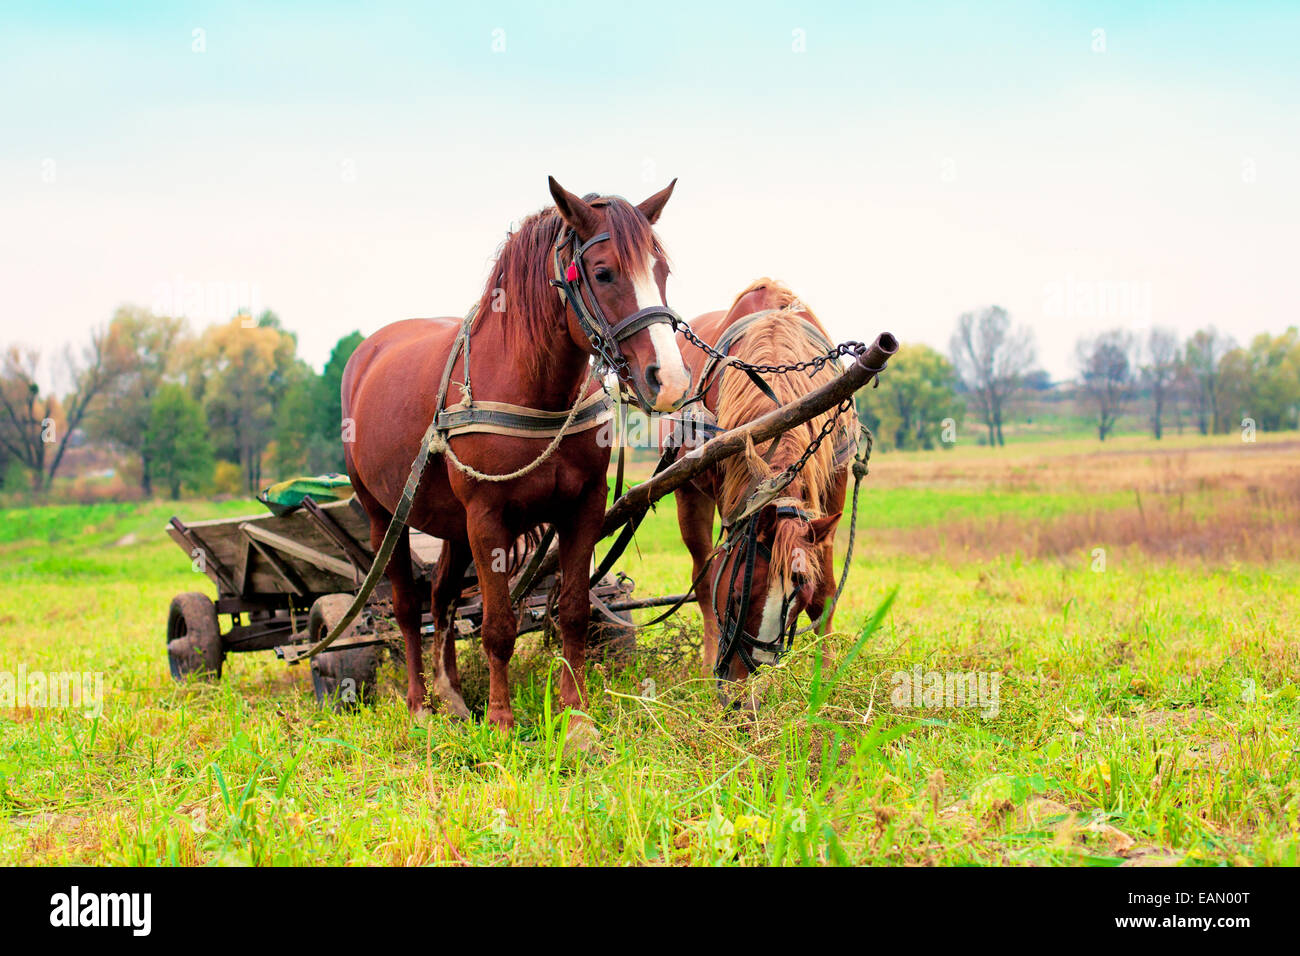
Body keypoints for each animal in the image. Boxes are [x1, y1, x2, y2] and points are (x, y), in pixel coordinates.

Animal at [342, 177, 690, 730]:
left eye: (662, 272)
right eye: (603, 272)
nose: (671, 379)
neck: (534, 389)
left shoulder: (582, 507)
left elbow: (574, 610)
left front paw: (576, 711)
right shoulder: (488, 517)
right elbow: (498, 624)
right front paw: (502, 720)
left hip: (450, 525)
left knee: (441, 600)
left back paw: (453, 695)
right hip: (385, 518)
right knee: (407, 607)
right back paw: (420, 704)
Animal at [665, 279, 856, 703]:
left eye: (797, 599)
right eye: (737, 594)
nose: (739, 689)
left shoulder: (834, 484)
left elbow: (827, 592)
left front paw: (827, 675)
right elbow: (712, 581)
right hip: (687, 491)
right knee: (702, 578)